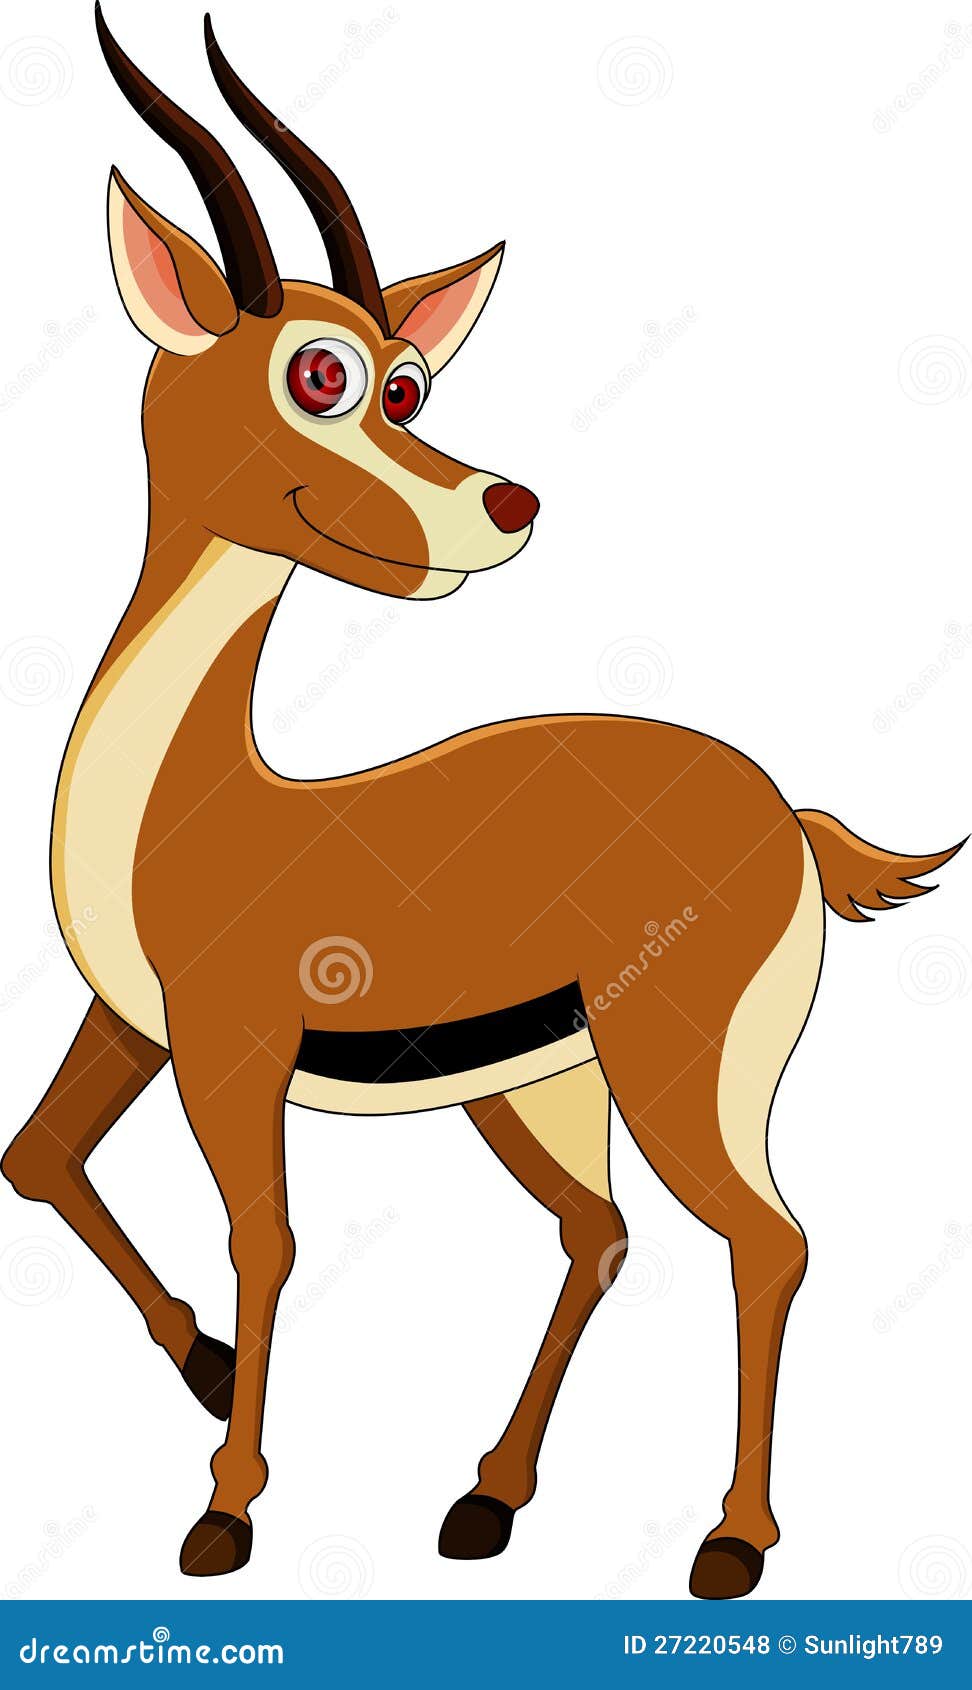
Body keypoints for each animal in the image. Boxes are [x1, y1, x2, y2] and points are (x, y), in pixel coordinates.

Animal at [2, 6, 962, 1598]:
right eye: (325, 375)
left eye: (409, 380)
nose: (503, 504)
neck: (197, 801)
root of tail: (783, 811)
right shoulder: (136, 1022)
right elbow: (35, 1161)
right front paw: (207, 1370)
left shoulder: (232, 1046)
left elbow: (266, 1239)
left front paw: (225, 1510)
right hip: (540, 1084)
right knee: (603, 1232)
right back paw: (484, 1501)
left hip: (670, 1070)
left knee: (766, 1239)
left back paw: (730, 1541)